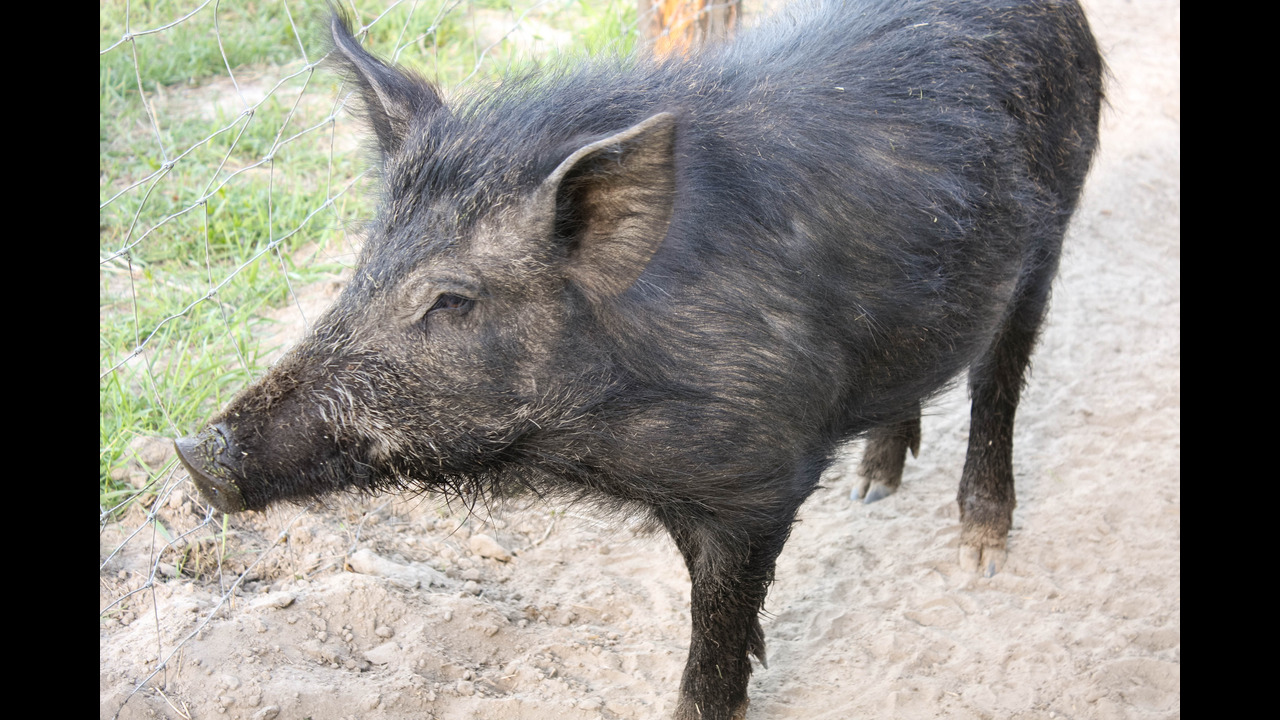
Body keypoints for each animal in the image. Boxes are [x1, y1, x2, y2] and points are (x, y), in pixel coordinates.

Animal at [175, 1, 1103, 717]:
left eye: (451, 300)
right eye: (364, 266)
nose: (193, 450)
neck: (600, 441)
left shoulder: (756, 482)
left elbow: (718, 623)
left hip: (1054, 221)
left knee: (998, 376)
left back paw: (979, 547)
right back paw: (874, 487)